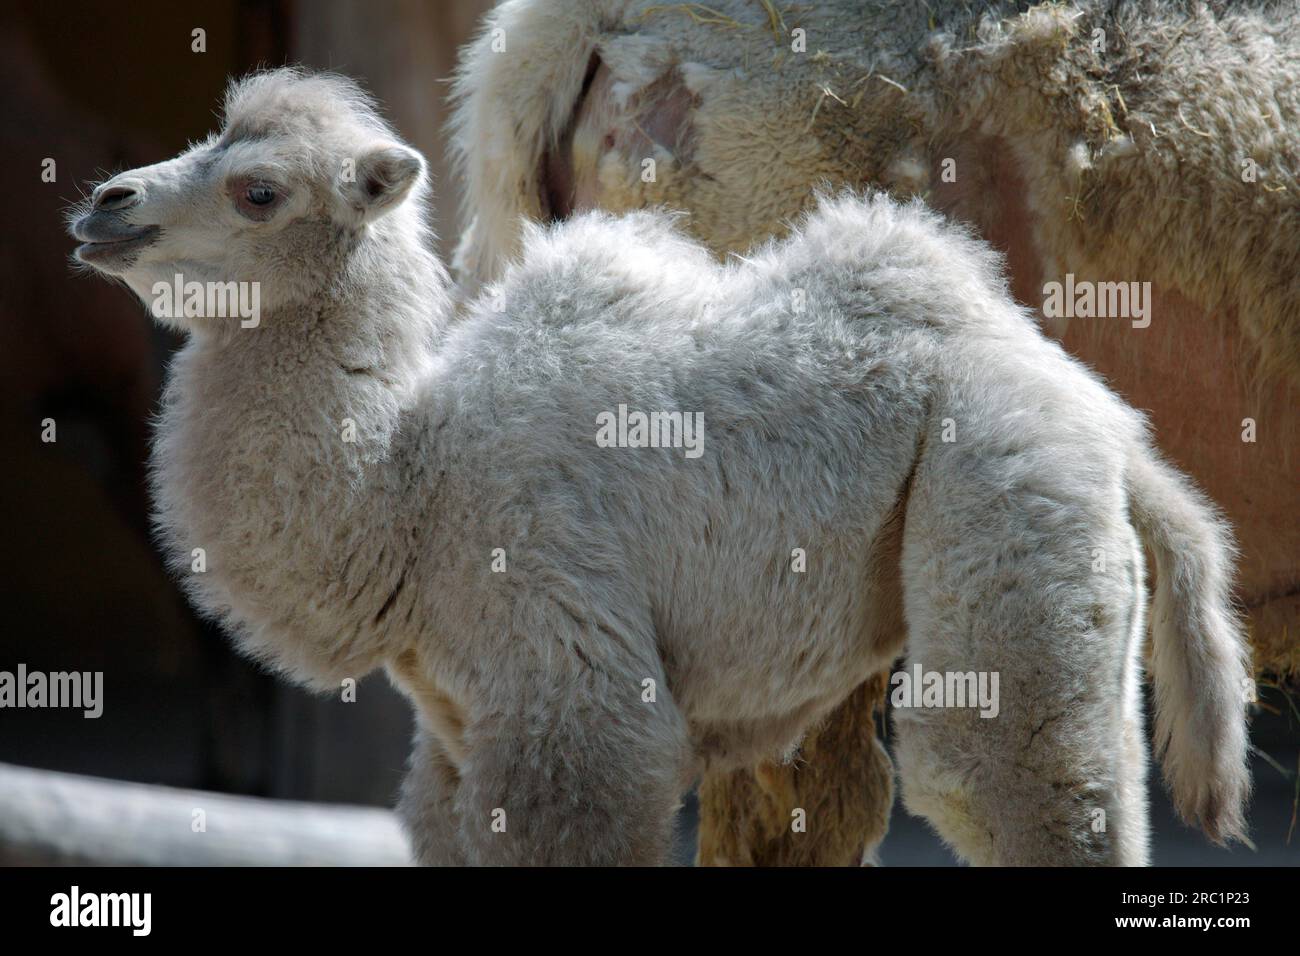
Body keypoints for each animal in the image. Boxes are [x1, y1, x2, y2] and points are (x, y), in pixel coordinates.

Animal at [69, 68, 1251, 865]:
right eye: (209, 135)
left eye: (259, 191)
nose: (104, 203)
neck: (407, 491)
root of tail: (1108, 420)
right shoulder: (453, 742)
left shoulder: (570, 691)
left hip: (1003, 489)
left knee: (999, 768)